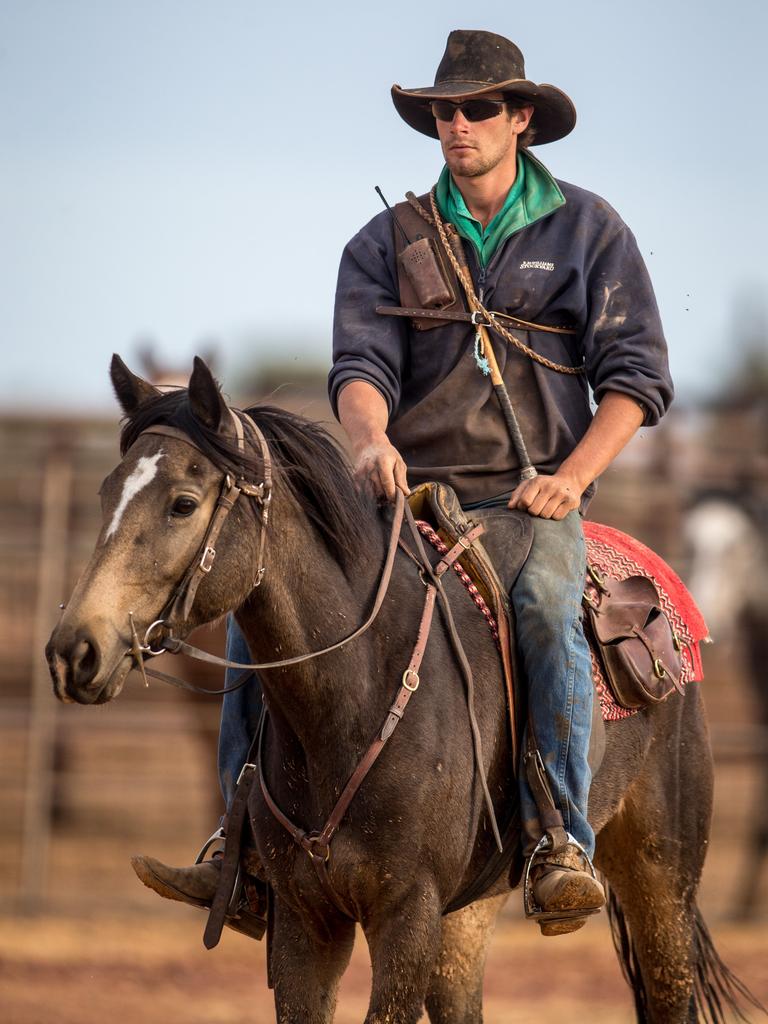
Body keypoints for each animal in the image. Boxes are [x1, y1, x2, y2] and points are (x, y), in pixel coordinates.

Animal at [48, 356, 765, 1019]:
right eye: (108, 490)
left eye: (183, 503)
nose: (74, 650)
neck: (353, 696)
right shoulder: (306, 923)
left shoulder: (407, 916)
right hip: (469, 915)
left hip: (662, 874)